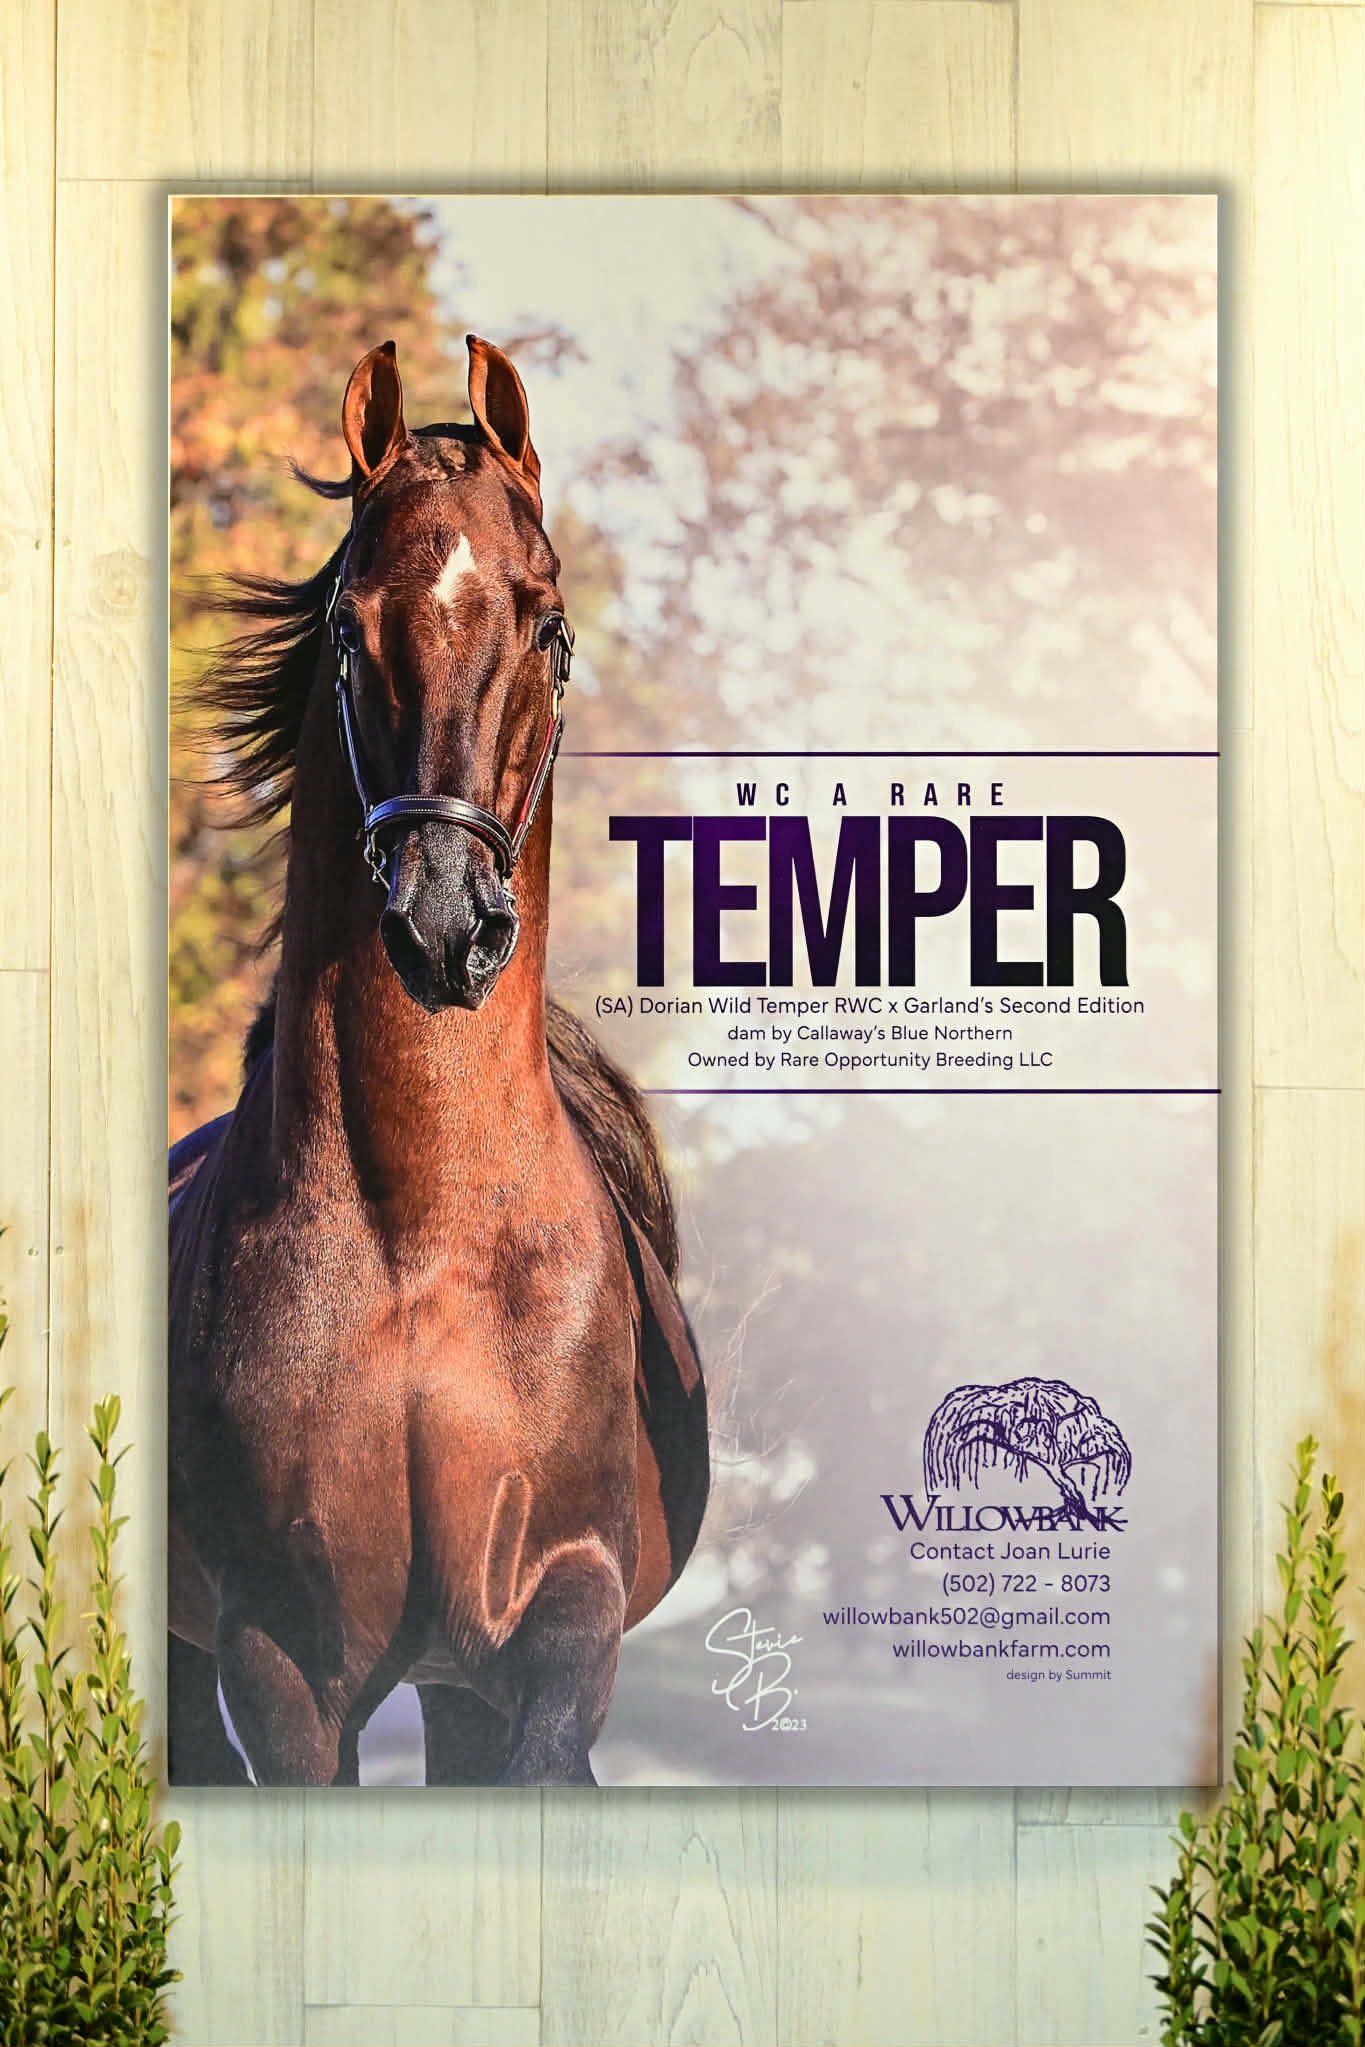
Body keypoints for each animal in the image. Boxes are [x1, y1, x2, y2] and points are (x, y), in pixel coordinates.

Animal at [168, 337, 709, 1787]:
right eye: (350, 629)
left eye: (544, 618)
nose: (445, 922)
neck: (426, 1240)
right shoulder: (280, 1662)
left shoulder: (557, 1608)